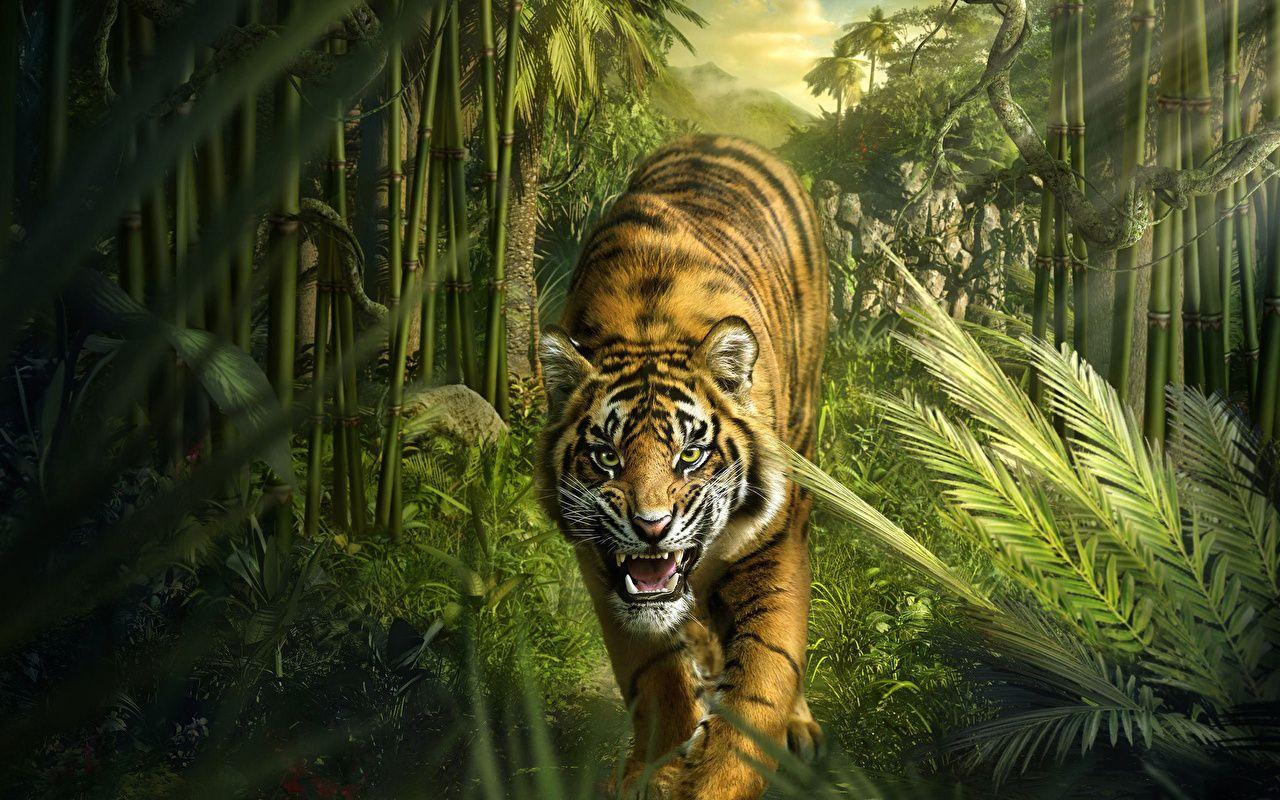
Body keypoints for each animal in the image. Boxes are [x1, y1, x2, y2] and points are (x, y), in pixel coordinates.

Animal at [536, 135, 828, 800]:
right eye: (607, 456)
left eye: (689, 454)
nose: (651, 528)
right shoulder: (601, 564)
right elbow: (656, 667)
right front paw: (660, 766)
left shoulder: (773, 547)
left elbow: (766, 677)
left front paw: (716, 778)